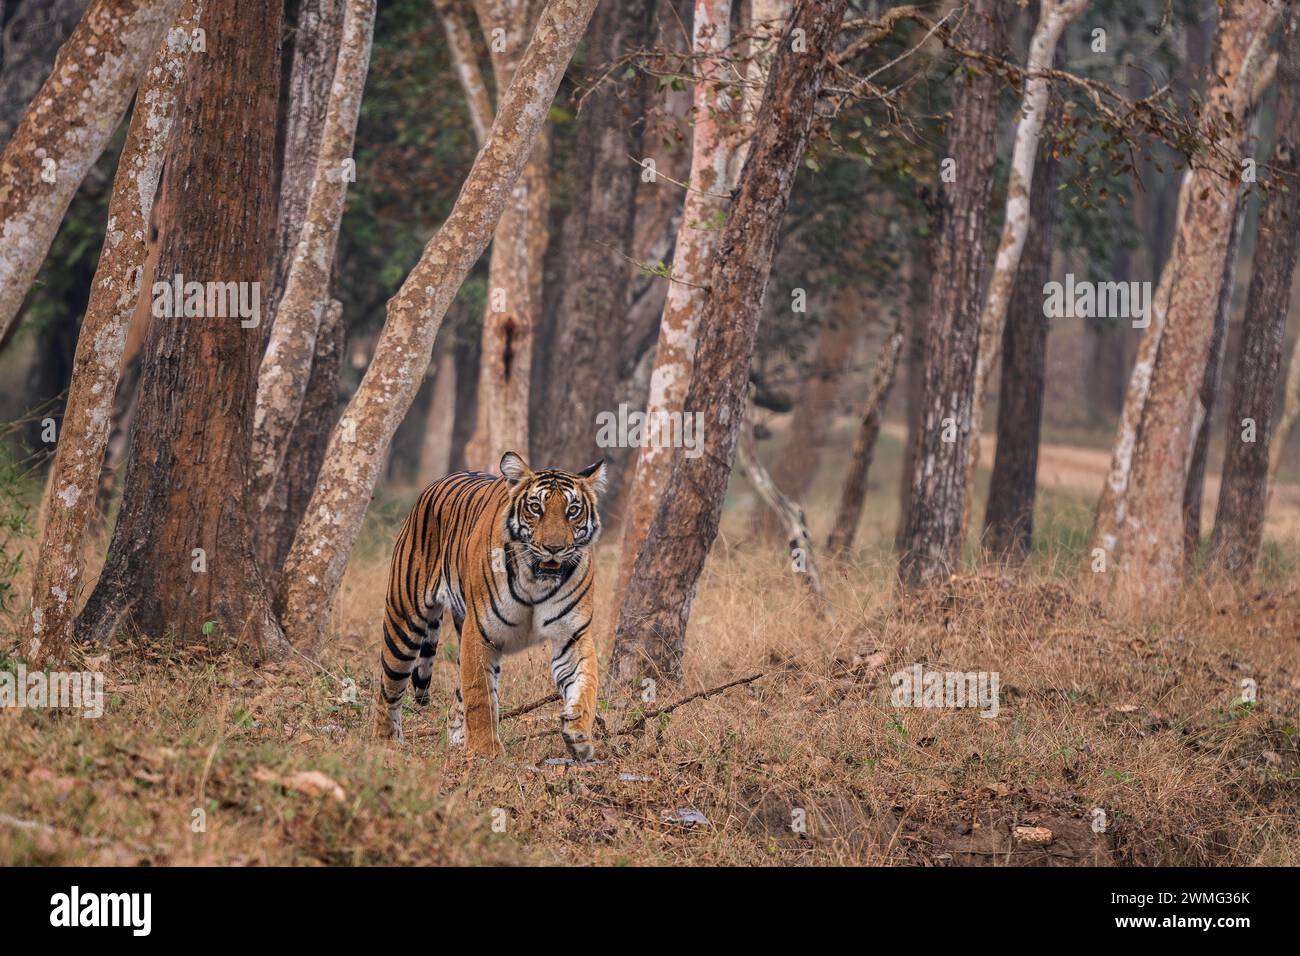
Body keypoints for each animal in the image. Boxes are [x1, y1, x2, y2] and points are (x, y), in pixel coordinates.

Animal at [376, 450, 605, 761]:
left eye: (573, 510)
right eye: (536, 508)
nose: (554, 548)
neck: (536, 581)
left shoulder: (572, 635)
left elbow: (586, 683)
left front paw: (579, 734)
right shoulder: (481, 632)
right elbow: (480, 694)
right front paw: (486, 750)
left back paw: (457, 738)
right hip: (404, 622)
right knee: (388, 687)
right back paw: (385, 741)